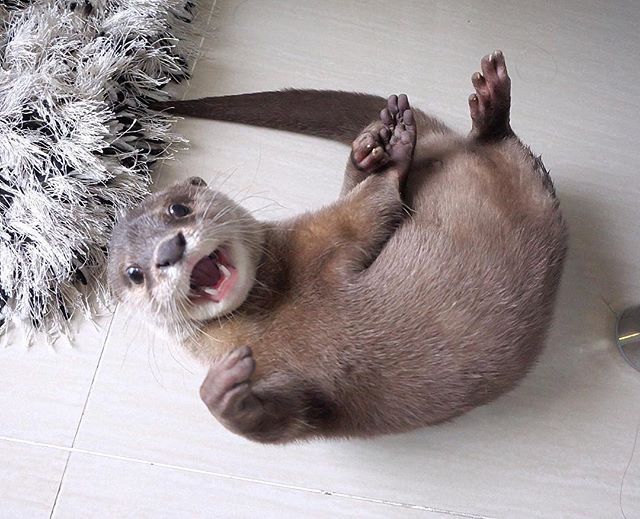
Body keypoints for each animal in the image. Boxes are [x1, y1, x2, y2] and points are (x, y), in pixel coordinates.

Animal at [108, 52, 567, 444]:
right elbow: (283, 421)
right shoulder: (299, 391)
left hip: (523, 173)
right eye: (134, 273)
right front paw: (221, 390)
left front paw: (391, 153)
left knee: (498, 139)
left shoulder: (325, 233)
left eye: (178, 208)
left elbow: (369, 207)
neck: (274, 308)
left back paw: (472, 109)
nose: (168, 251)